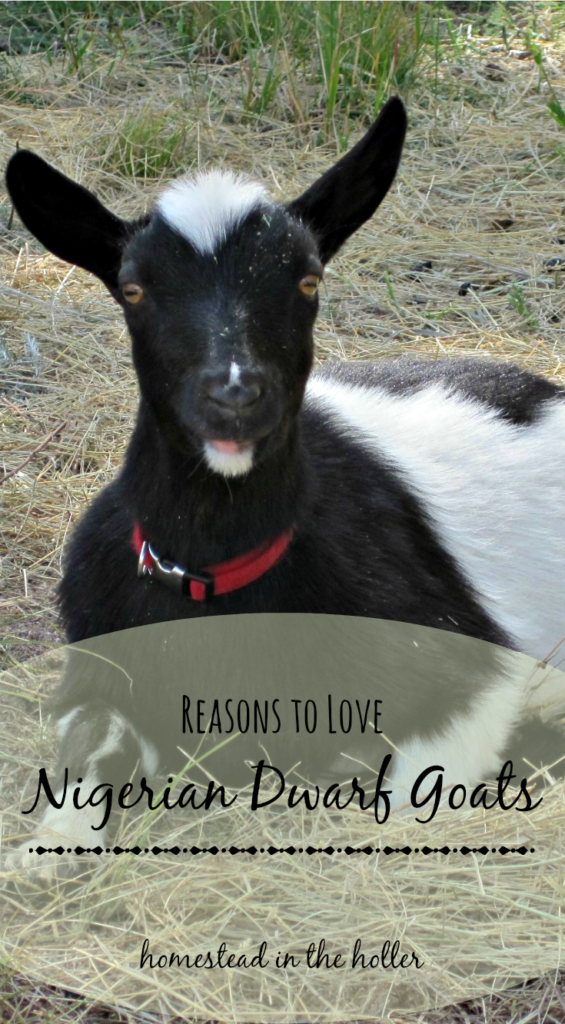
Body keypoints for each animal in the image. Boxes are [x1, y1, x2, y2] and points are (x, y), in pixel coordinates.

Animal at [5, 97, 565, 874]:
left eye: (308, 280)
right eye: (134, 287)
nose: (234, 396)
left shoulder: (466, 678)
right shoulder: (98, 664)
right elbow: (89, 743)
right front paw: (44, 853)